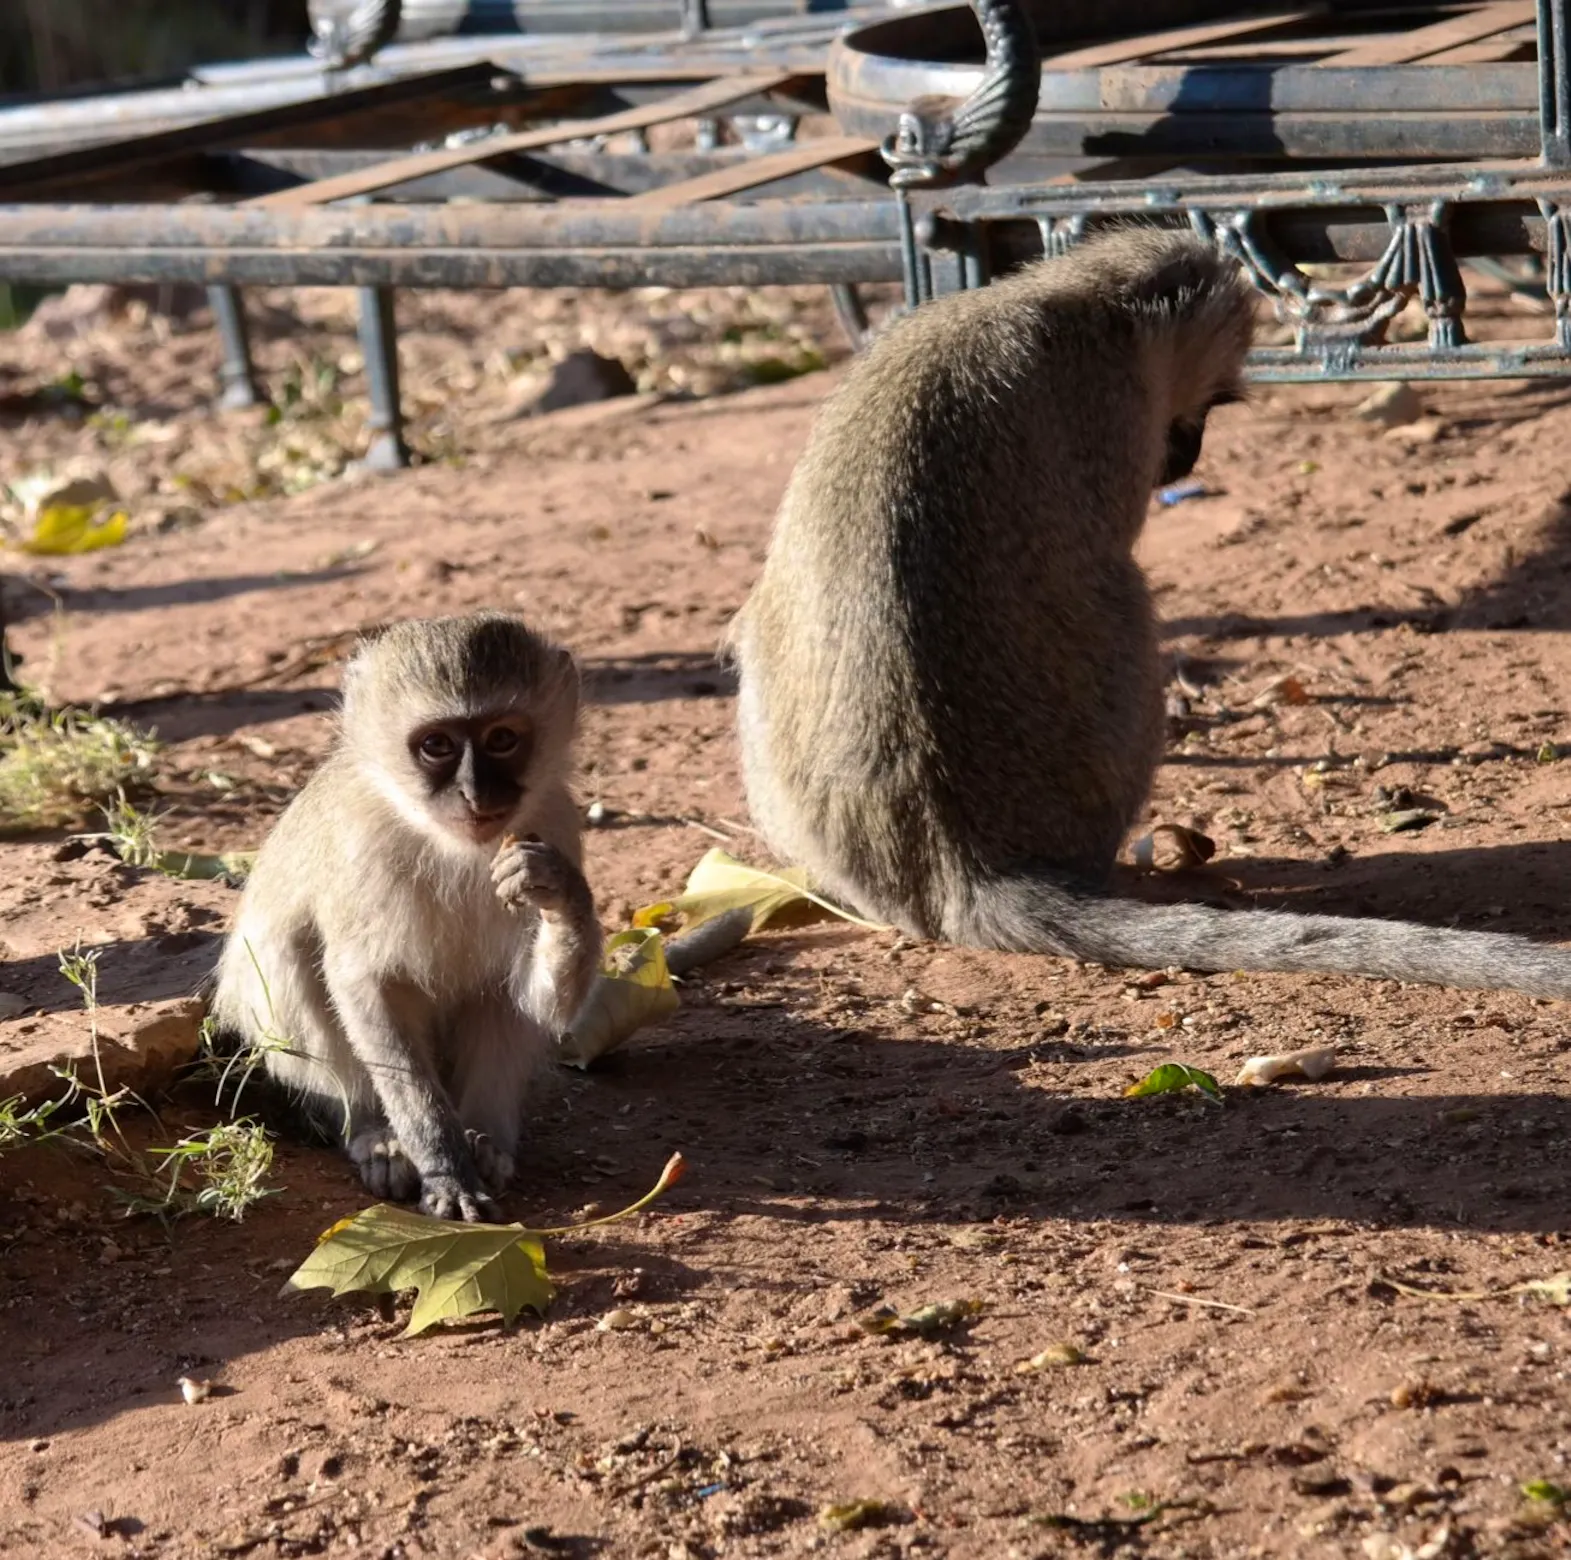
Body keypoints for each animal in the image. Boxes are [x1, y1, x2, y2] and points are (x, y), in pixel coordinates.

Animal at [210, 612, 603, 1222]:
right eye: (436, 745)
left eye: (502, 739)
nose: (475, 794)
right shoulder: (361, 845)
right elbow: (365, 982)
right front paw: (443, 1167)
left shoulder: (555, 820)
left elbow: (536, 1000)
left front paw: (556, 890)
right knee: (286, 952)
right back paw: (378, 1136)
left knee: (499, 997)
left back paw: (485, 1140)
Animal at [730, 224, 1571, 1000]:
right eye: (1208, 401)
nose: (1189, 452)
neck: (1066, 299)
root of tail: (962, 870)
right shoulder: (1108, 406)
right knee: (1124, 601)